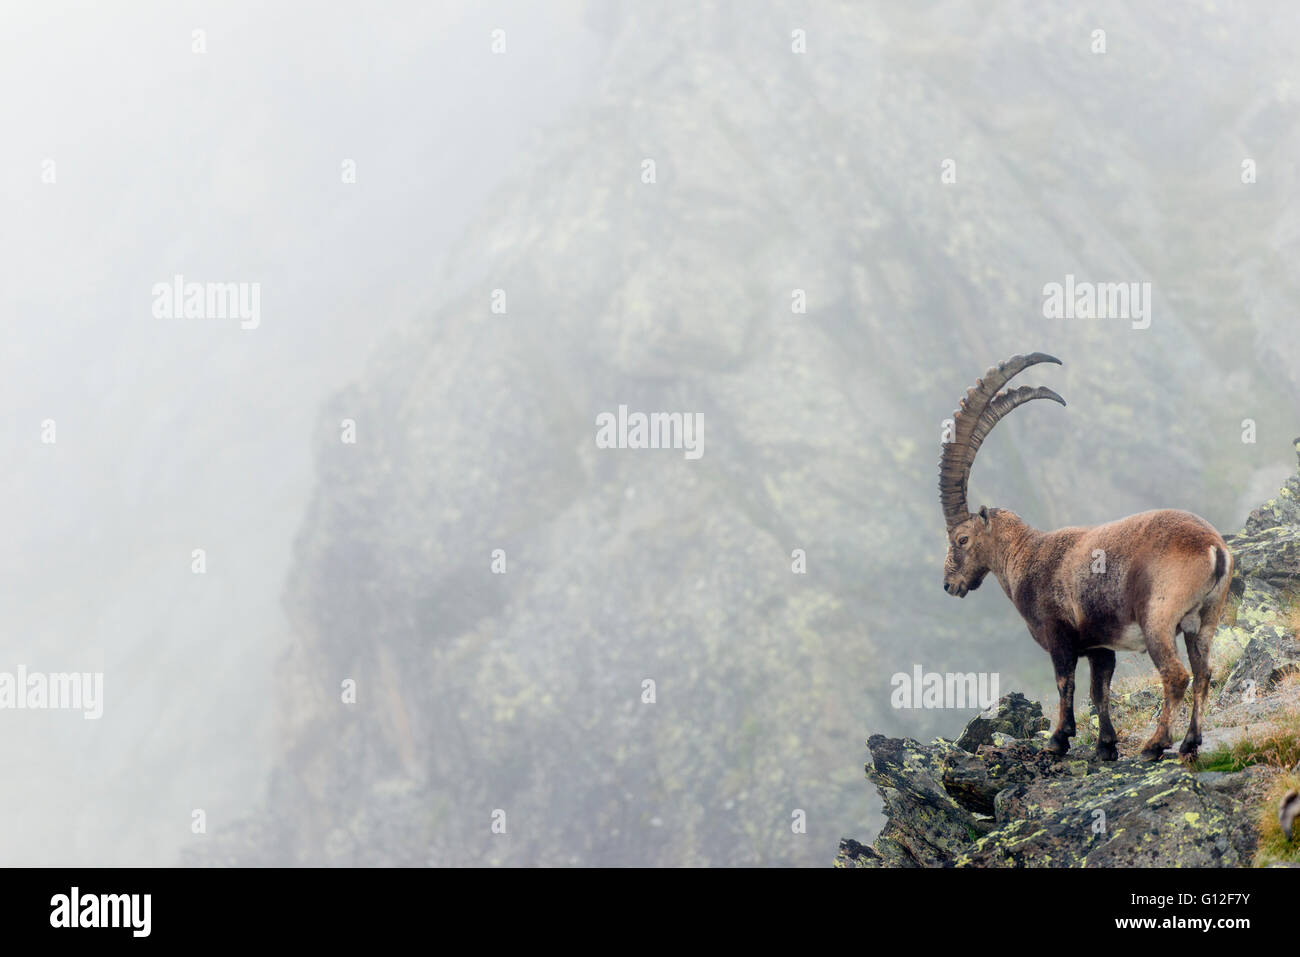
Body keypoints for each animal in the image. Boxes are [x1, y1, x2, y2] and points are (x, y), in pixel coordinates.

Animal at [939, 353, 1232, 761]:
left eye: (962, 539)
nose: (949, 584)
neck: (1026, 554)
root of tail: (1214, 548)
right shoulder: (1099, 645)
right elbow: (1099, 691)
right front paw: (1105, 746)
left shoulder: (1058, 635)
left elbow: (1065, 683)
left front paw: (1058, 740)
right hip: (1204, 621)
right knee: (1204, 673)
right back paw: (1190, 742)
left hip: (1157, 618)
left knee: (1177, 676)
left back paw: (1155, 744)